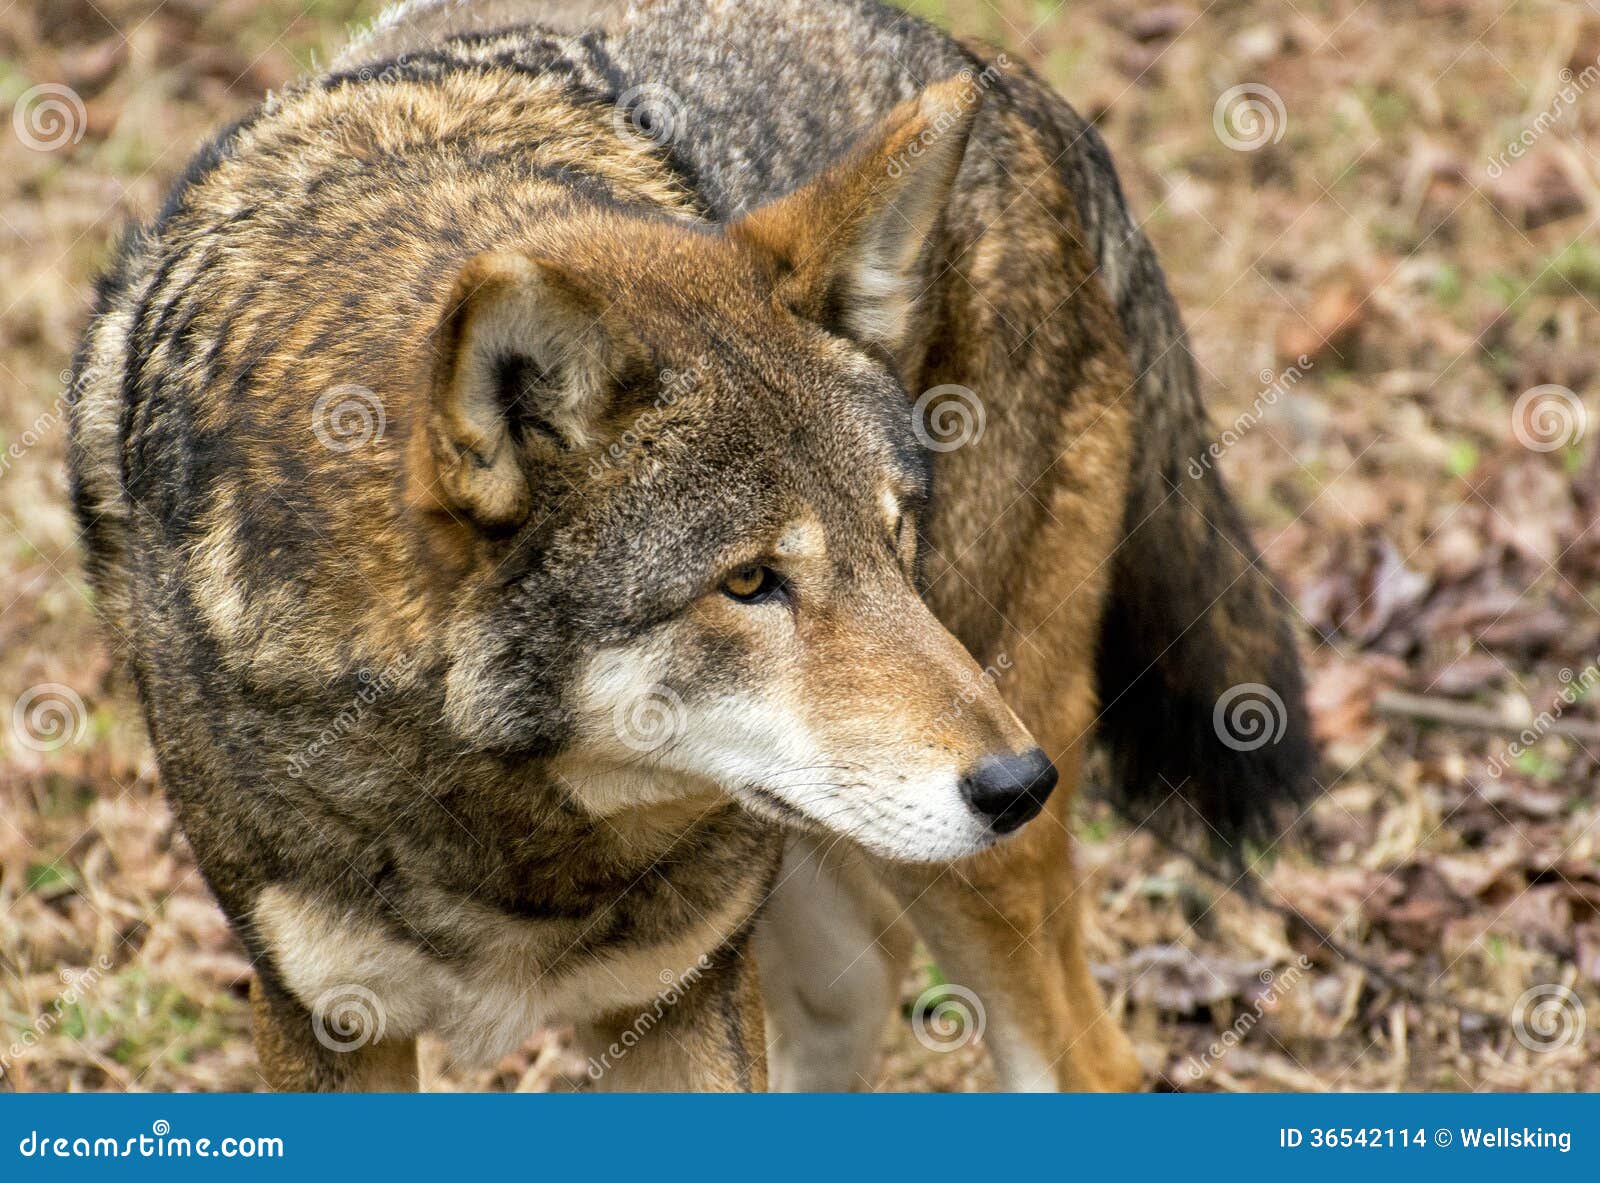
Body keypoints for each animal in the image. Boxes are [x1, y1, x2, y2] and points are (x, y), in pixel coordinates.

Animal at [66, 0, 1314, 1091]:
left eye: (893, 539)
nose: (1018, 783)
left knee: (1089, 1058)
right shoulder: (325, 1017)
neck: (509, 831)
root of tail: (995, 68)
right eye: (751, 581)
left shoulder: (679, 992)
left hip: (964, 857)